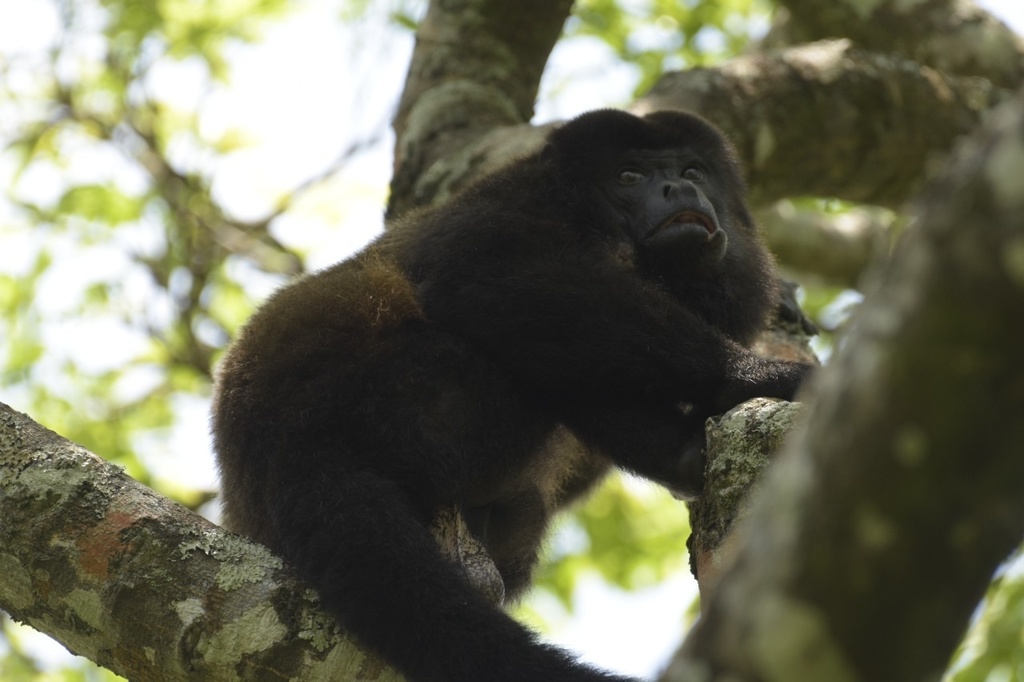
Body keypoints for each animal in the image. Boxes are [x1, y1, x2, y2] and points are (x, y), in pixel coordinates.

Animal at [211, 109, 813, 682]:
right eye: (629, 176)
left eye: (692, 171)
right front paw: (757, 376)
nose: (677, 190)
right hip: (417, 392)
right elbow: (481, 275)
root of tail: (282, 443)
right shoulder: (515, 202)